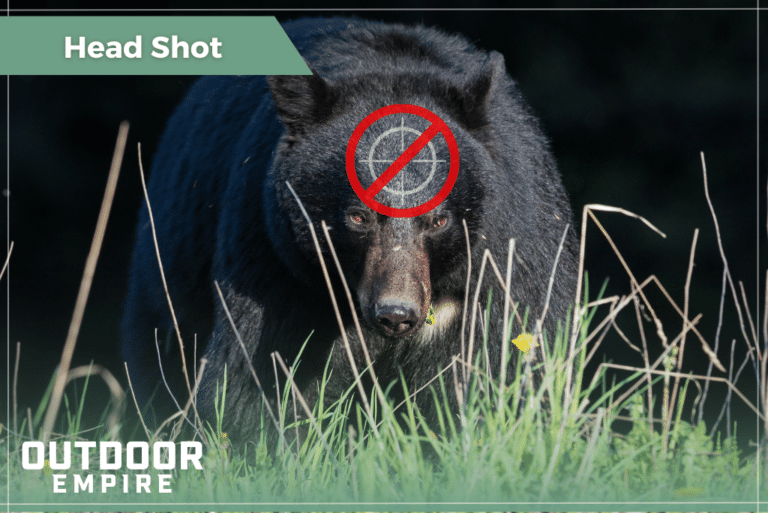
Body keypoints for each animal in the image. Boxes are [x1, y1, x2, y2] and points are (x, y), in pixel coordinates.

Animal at [120, 17, 579, 445]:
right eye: (360, 217)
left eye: (438, 220)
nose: (396, 314)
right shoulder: (274, 256)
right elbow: (256, 374)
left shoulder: (508, 255)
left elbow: (507, 363)